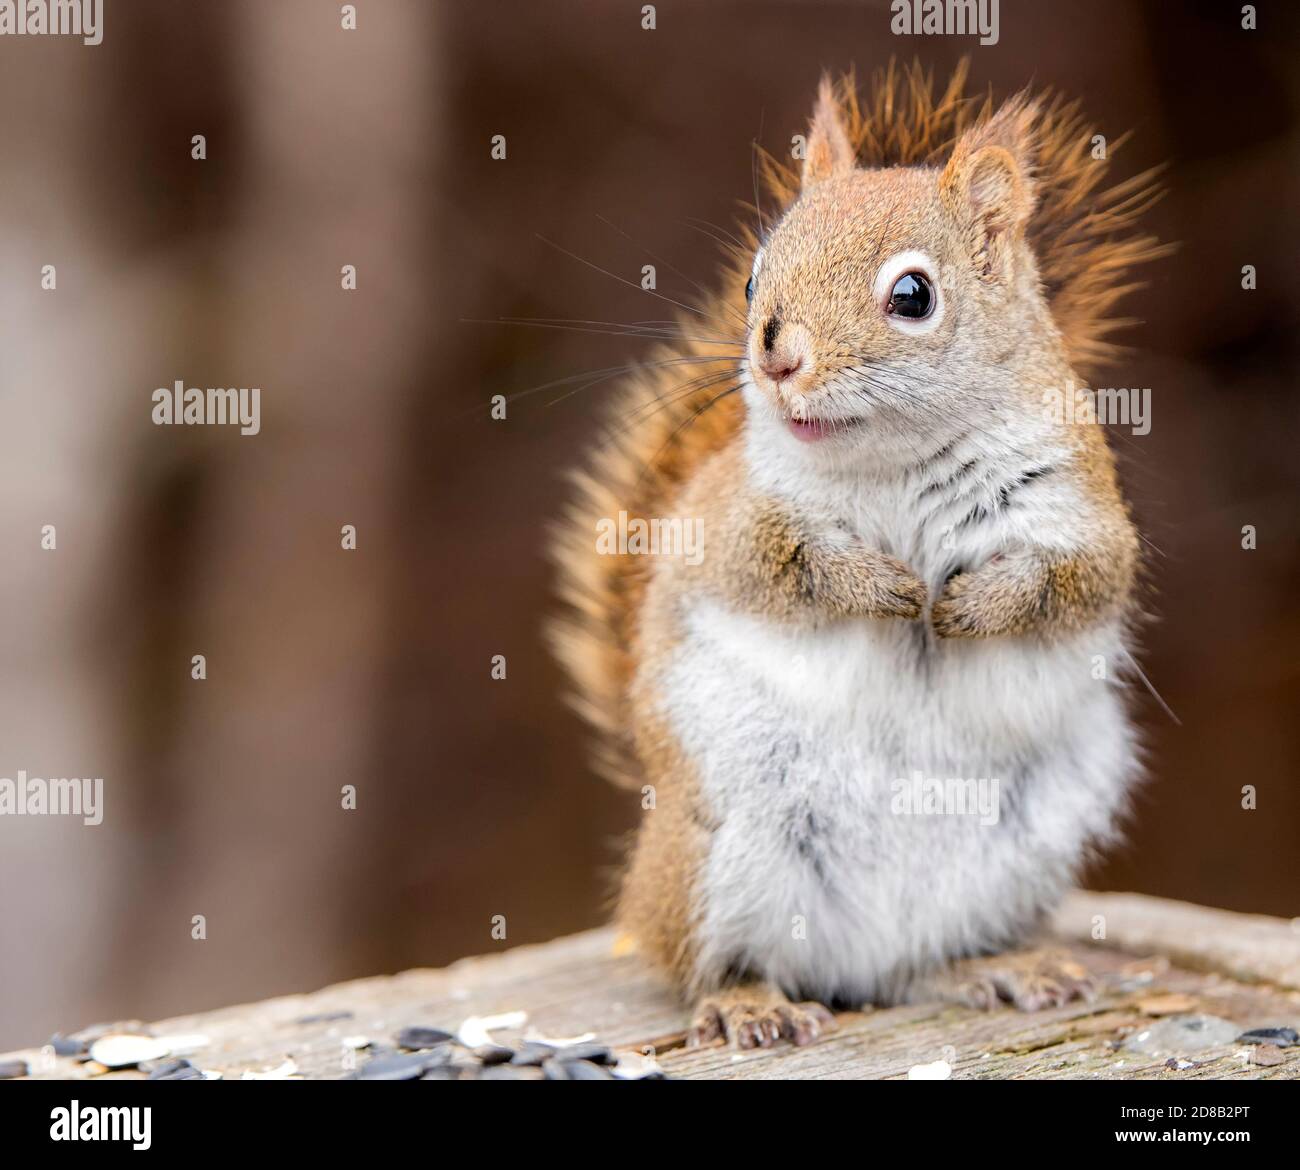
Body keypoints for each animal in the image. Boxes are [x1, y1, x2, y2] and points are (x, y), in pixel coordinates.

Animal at [550, 62, 1166, 1049]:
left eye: (913, 296)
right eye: (753, 277)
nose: (776, 358)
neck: (894, 460)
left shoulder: (1081, 512)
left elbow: (1072, 585)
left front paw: (968, 606)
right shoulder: (729, 523)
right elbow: (779, 569)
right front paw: (880, 586)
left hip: (1027, 843)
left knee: (916, 967)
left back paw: (992, 968)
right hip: (718, 850)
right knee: (708, 963)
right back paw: (750, 1003)